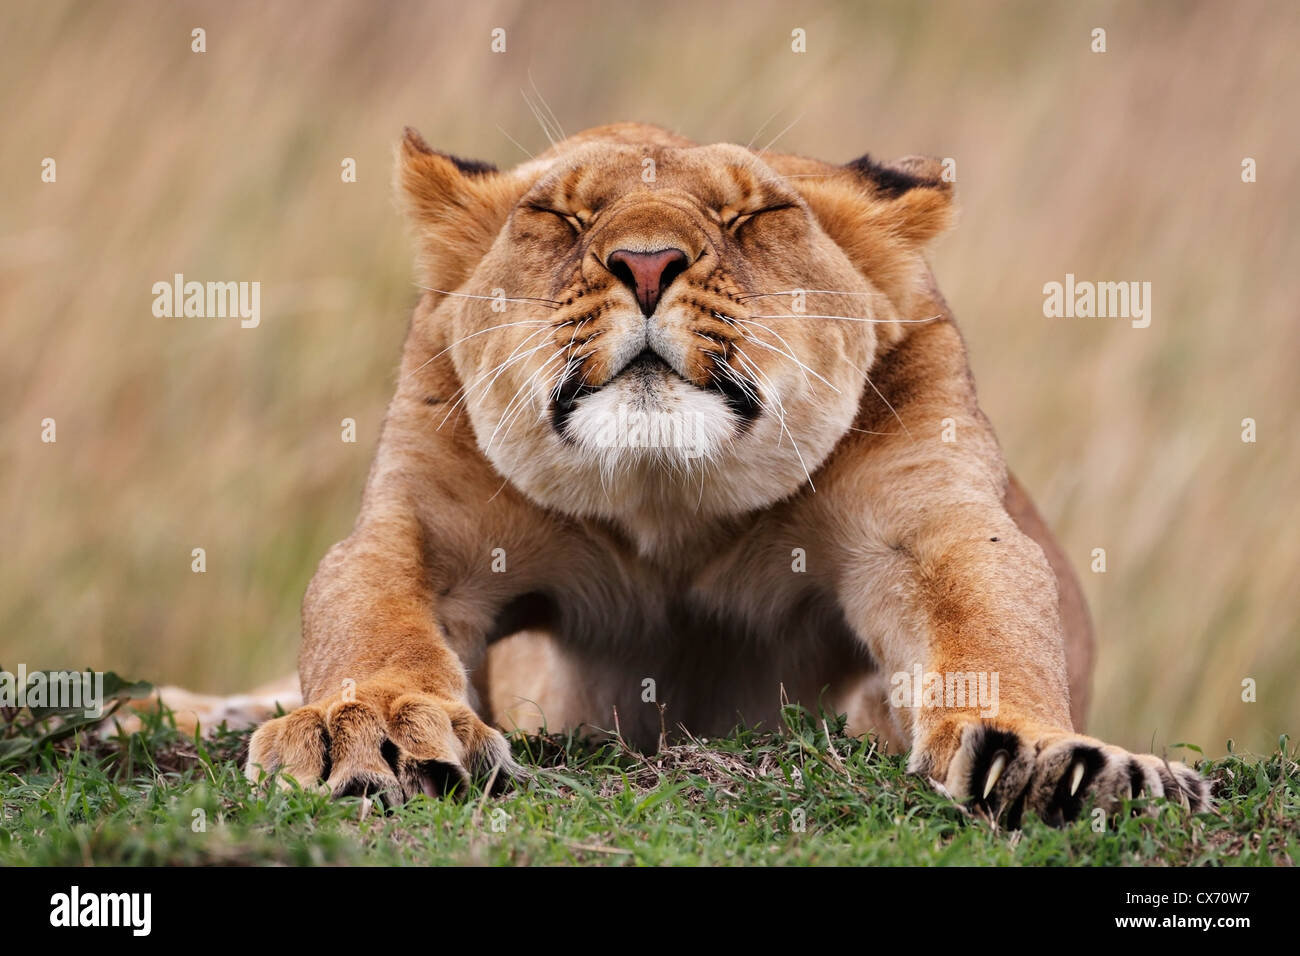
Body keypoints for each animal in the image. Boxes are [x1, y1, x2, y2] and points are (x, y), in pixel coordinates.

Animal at [230, 122, 1207, 825]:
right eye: (561, 216)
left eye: (751, 219)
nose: (646, 262)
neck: (672, 506)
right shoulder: (424, 528)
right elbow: (368, 611)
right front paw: (369, 728)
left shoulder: (928, 526)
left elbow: (991, 627)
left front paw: (1051, 759)